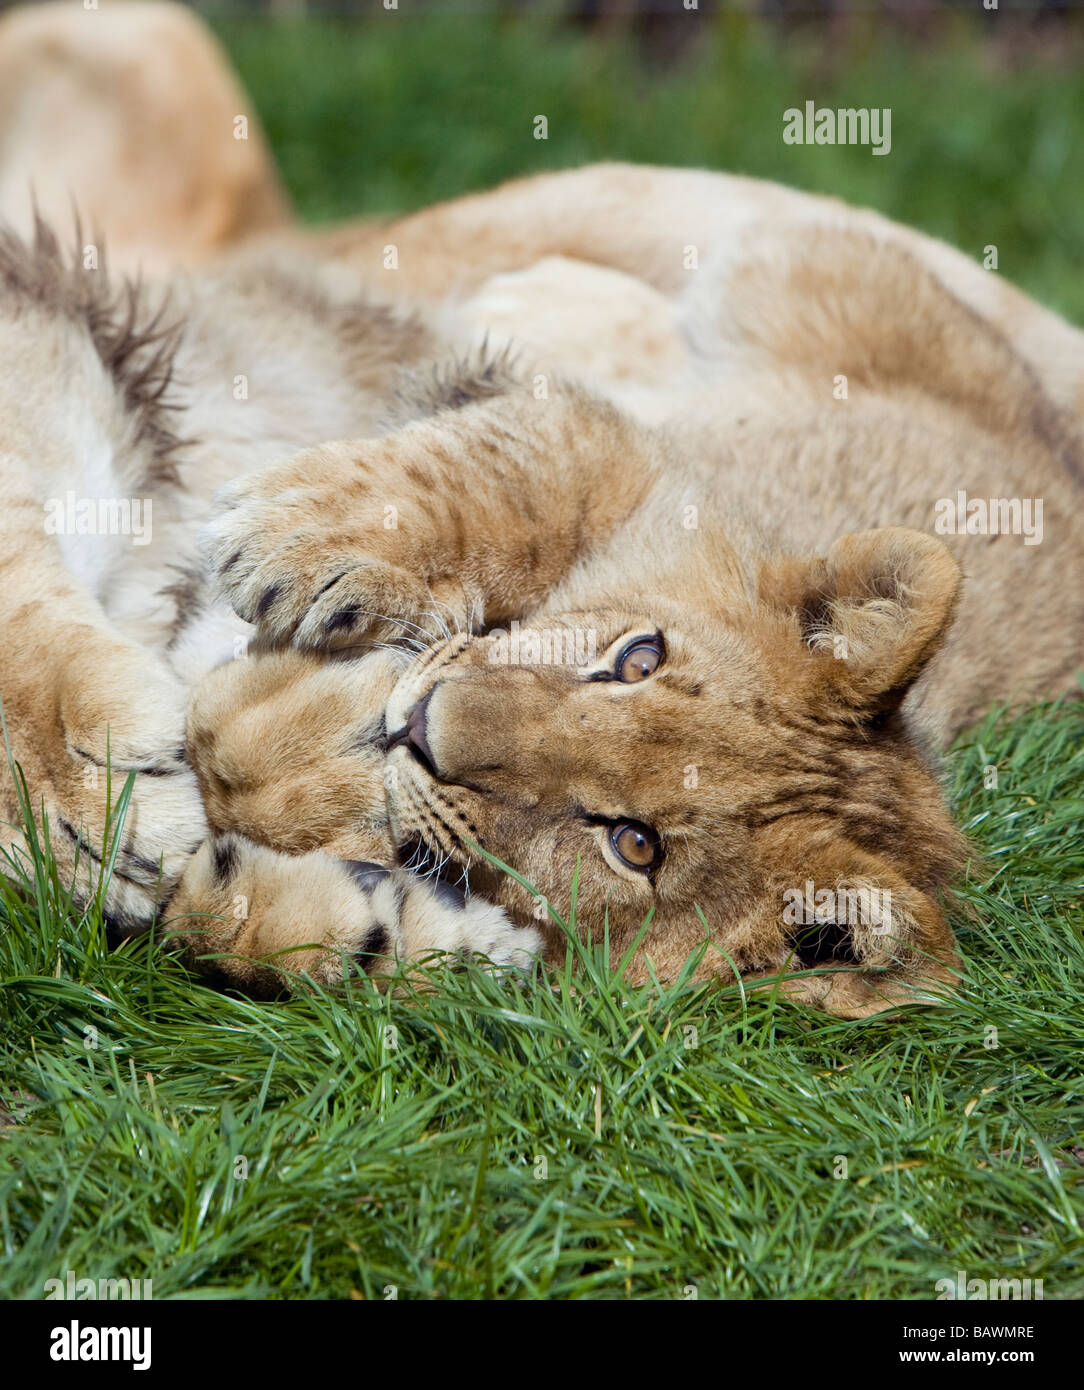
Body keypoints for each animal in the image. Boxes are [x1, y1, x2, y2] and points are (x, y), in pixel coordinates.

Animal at [0, 3, 1080, 1018]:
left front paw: (343, 892)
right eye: (638, 658)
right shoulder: (621, 453)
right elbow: (511, 481)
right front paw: (90, 793)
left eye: (634, 844)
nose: (418, 724)